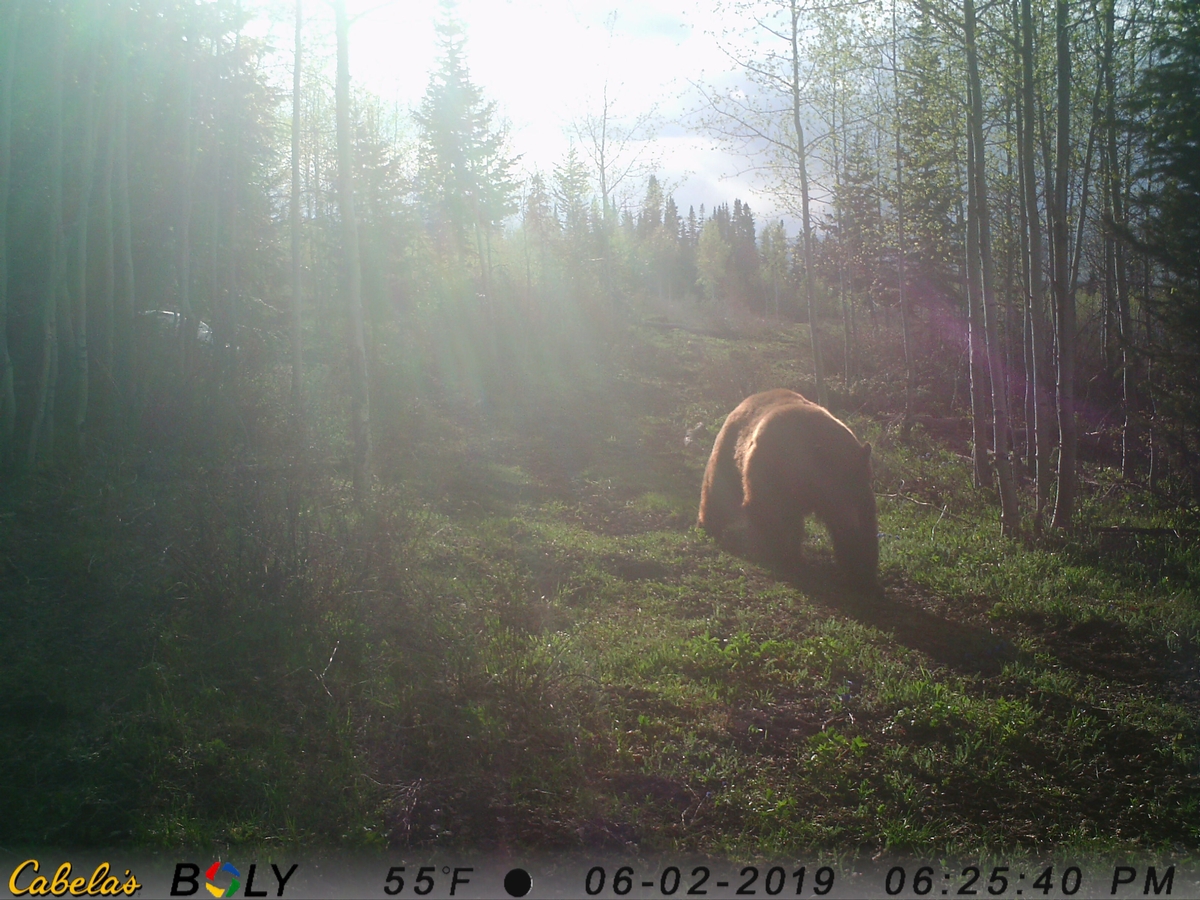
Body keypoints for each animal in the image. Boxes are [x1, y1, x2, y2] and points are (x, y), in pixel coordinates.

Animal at [698, 389, 878, 583]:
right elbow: (768, 510)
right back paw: (708, 523)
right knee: (718, 489)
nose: (851, 522)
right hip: (731, 448)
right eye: (840, 491)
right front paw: (780, 554)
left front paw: (860, 567)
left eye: (856, 489)